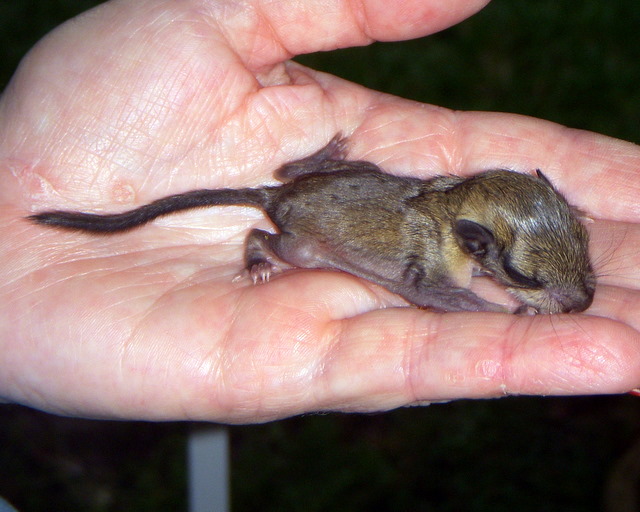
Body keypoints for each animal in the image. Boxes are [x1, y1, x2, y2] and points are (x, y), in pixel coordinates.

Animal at [28, 134, 595, 314]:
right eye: (523, 276)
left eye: (585, 237)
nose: (585, 304)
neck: (454, 204)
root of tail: (273, 198)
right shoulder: (427, 277)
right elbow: (444, 296)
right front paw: (502, 308)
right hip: (302, 249)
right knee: (259, 235)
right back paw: (257, 263)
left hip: (349, 170)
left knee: (286, 169)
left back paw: (321, 154)